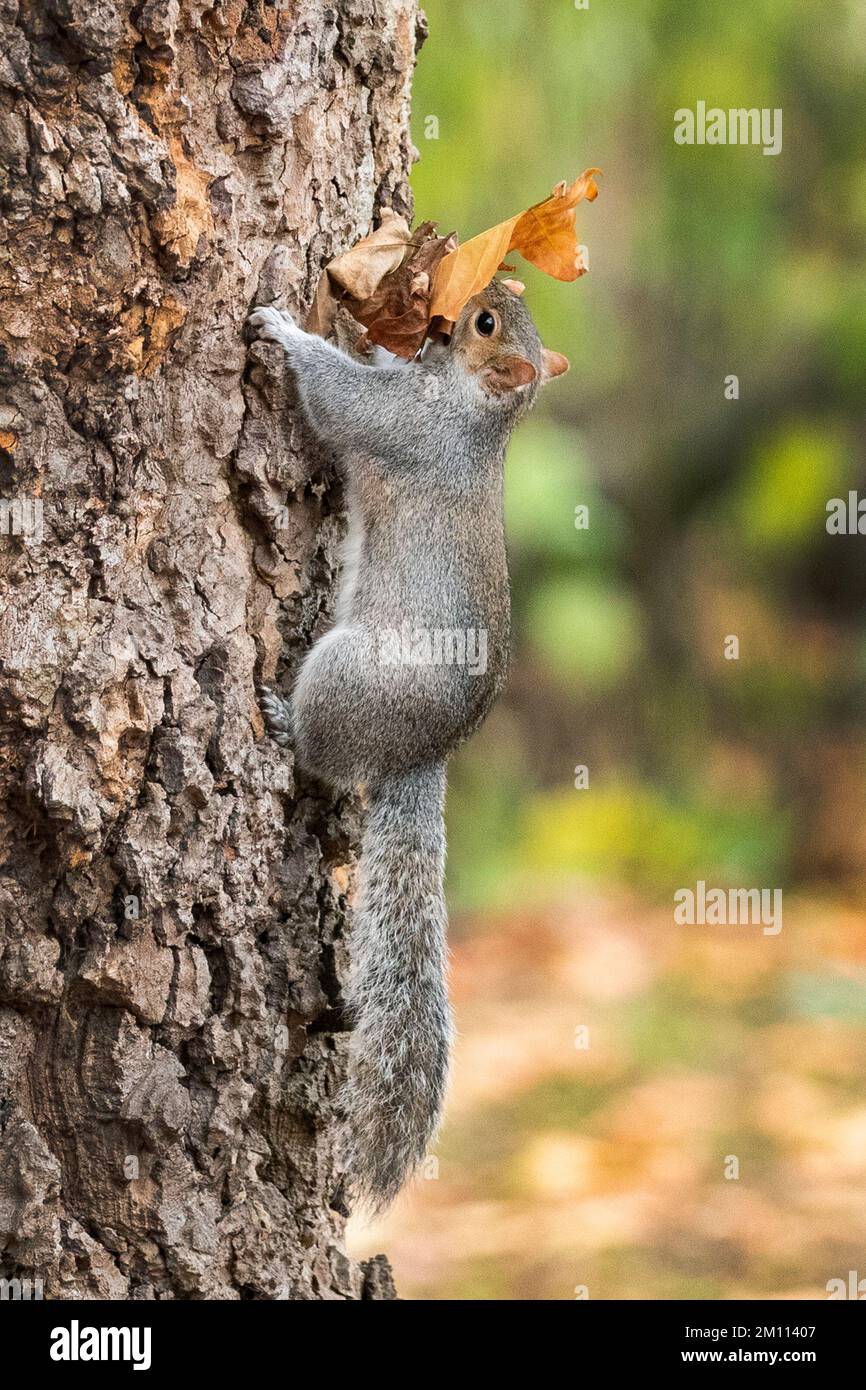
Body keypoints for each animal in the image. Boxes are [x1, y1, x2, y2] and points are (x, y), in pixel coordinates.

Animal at [248, 276, 569, 1210]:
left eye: (487, 323)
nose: (478, 290)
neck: (470, 410)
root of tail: (422, 751)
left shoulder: (400, 425)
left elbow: (339, 401)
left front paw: (286, 331)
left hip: (345, 673)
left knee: (323, 751)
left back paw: (284, 721)